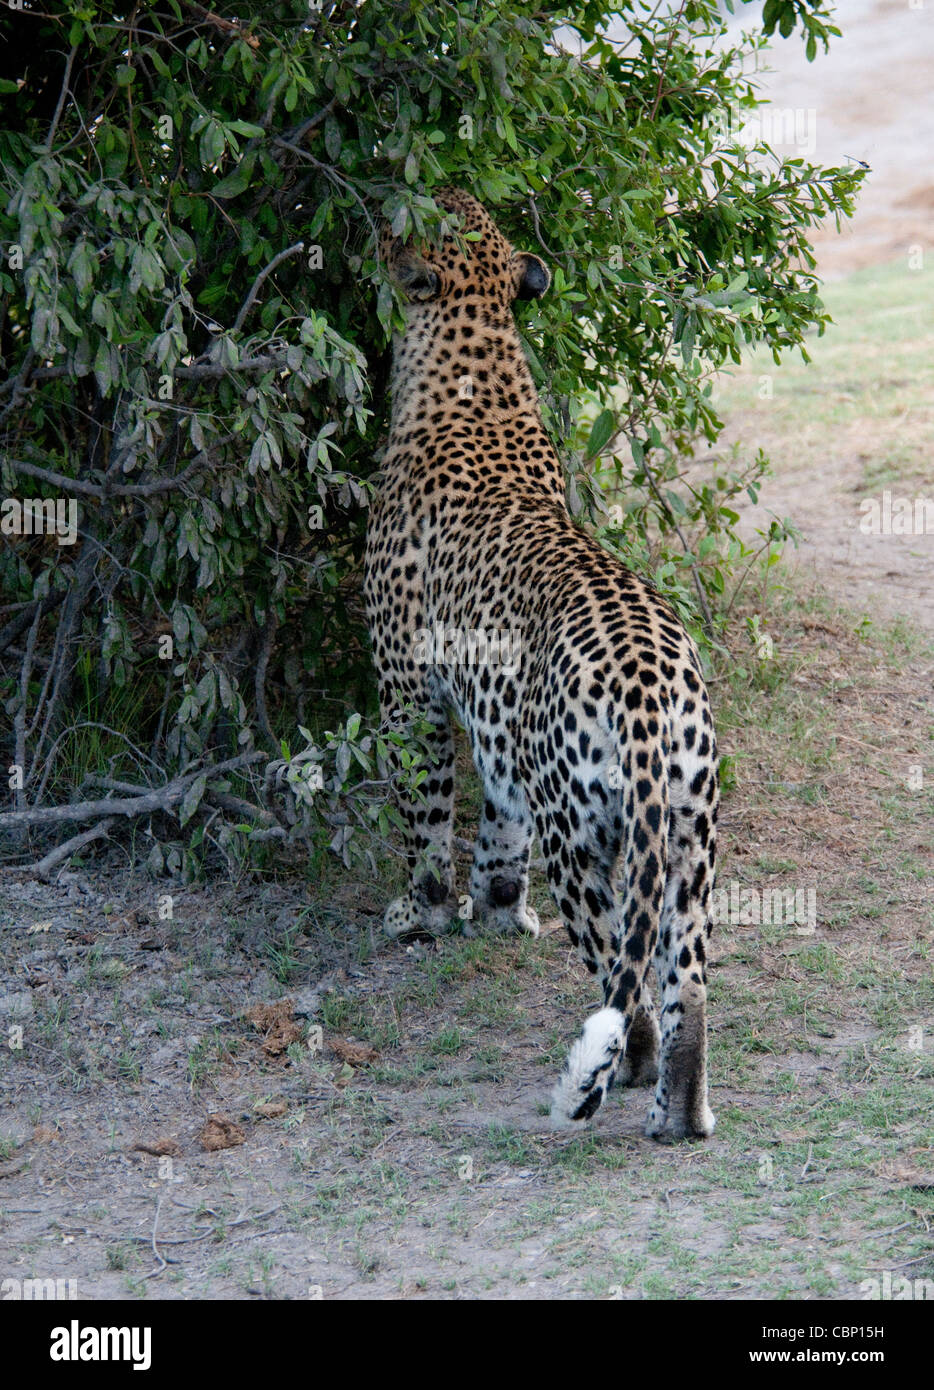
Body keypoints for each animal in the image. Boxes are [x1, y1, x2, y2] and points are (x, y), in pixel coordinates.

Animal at [363, 188, 719, 1140]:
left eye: (431, 208)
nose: (388, 196)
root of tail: (651, 690)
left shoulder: (409, 693)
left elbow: (426, 816)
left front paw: (423, 913)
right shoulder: (500, 728)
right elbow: (496, 824)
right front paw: (495, 909)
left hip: (583, 835)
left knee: (625, 984)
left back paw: (620, 1076)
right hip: (693, 833)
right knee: (687, 982)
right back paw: (682, 1117)